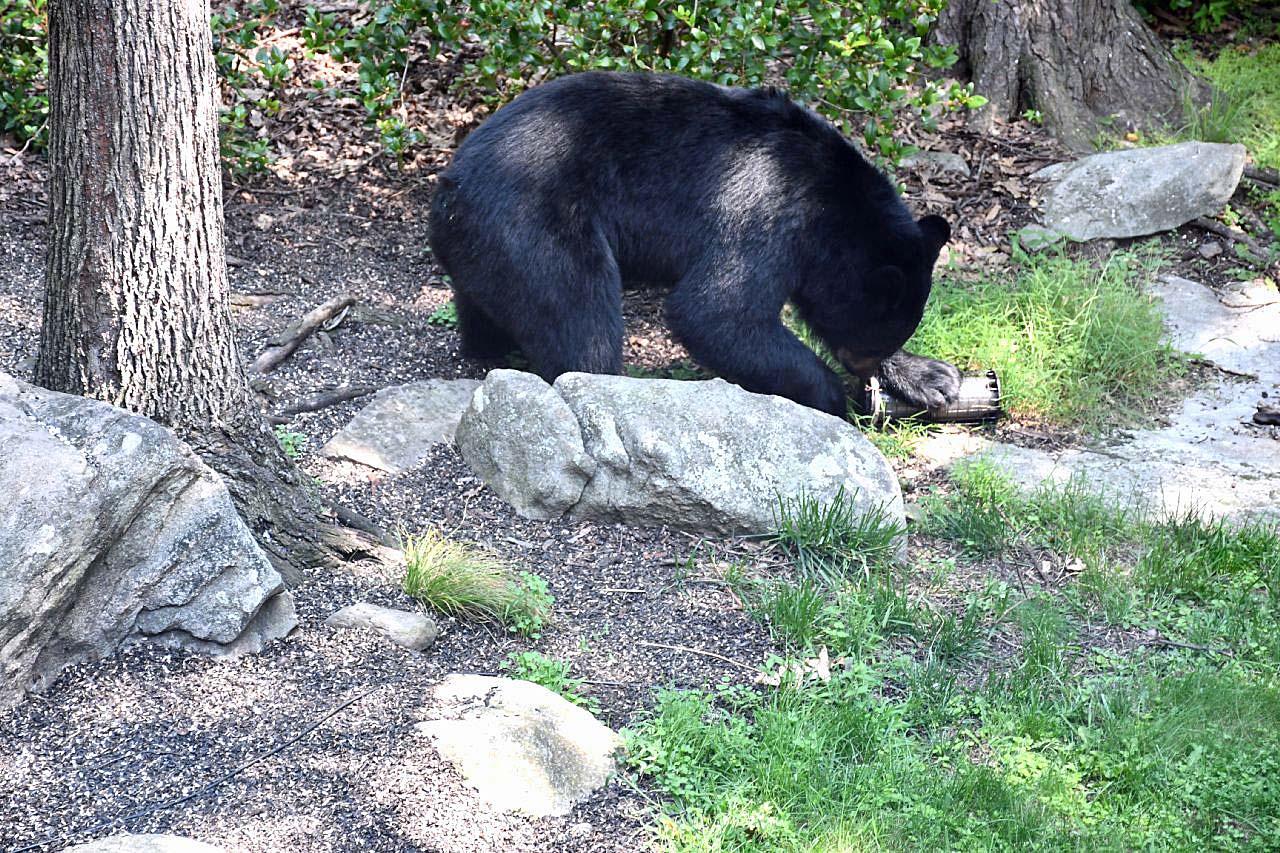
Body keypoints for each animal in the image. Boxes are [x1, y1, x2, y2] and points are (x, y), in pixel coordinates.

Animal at [427, 71, 960, 417]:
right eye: (866, 343)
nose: (864, 373)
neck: (831, 204)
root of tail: (448, 189)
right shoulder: (771, 209)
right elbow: (716, 311)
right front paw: (832, 396)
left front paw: (932, 377)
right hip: (535, 224)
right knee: (579, 318)